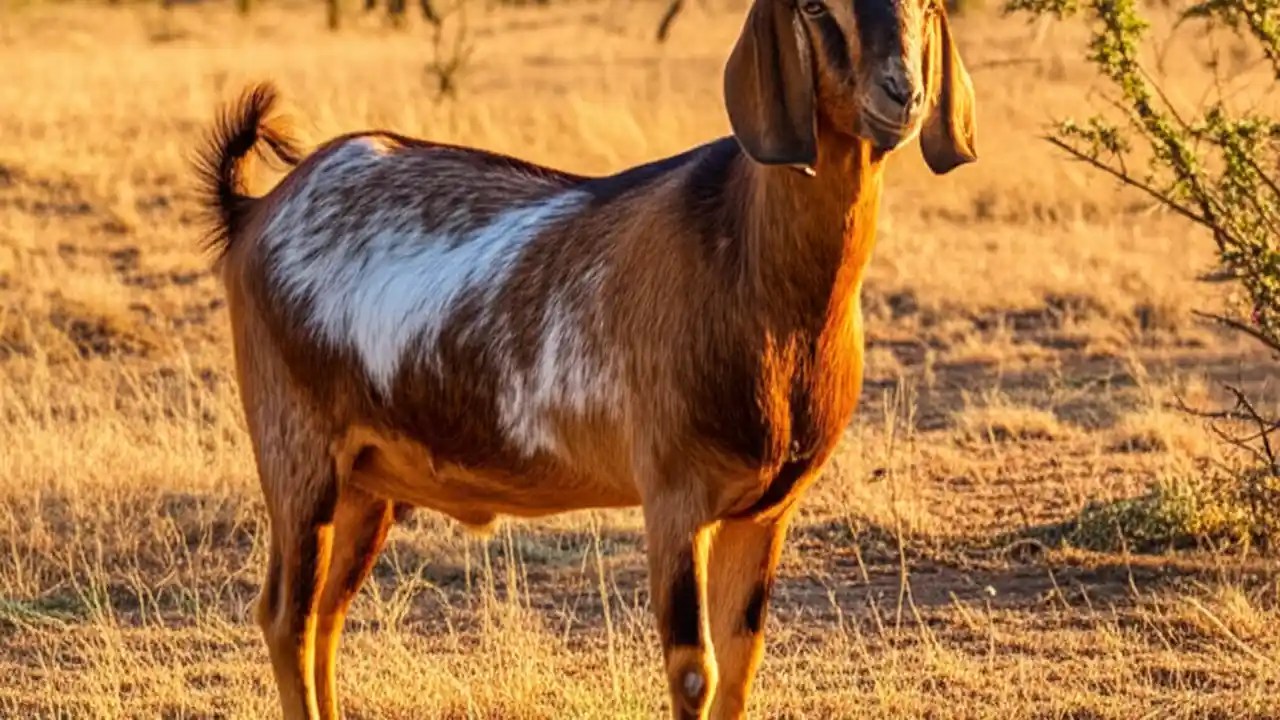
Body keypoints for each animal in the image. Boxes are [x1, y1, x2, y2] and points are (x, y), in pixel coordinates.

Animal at [194, 0, 975, 716]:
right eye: (813, 7)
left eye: (928, 4)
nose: (899, 94)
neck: (746, 256)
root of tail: (256, 211)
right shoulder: (674, 496)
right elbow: (695, 672)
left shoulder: (765, 511)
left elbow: (741, 665)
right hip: (298, 457)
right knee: (288, 617)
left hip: (366, 485)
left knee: (325, 616)